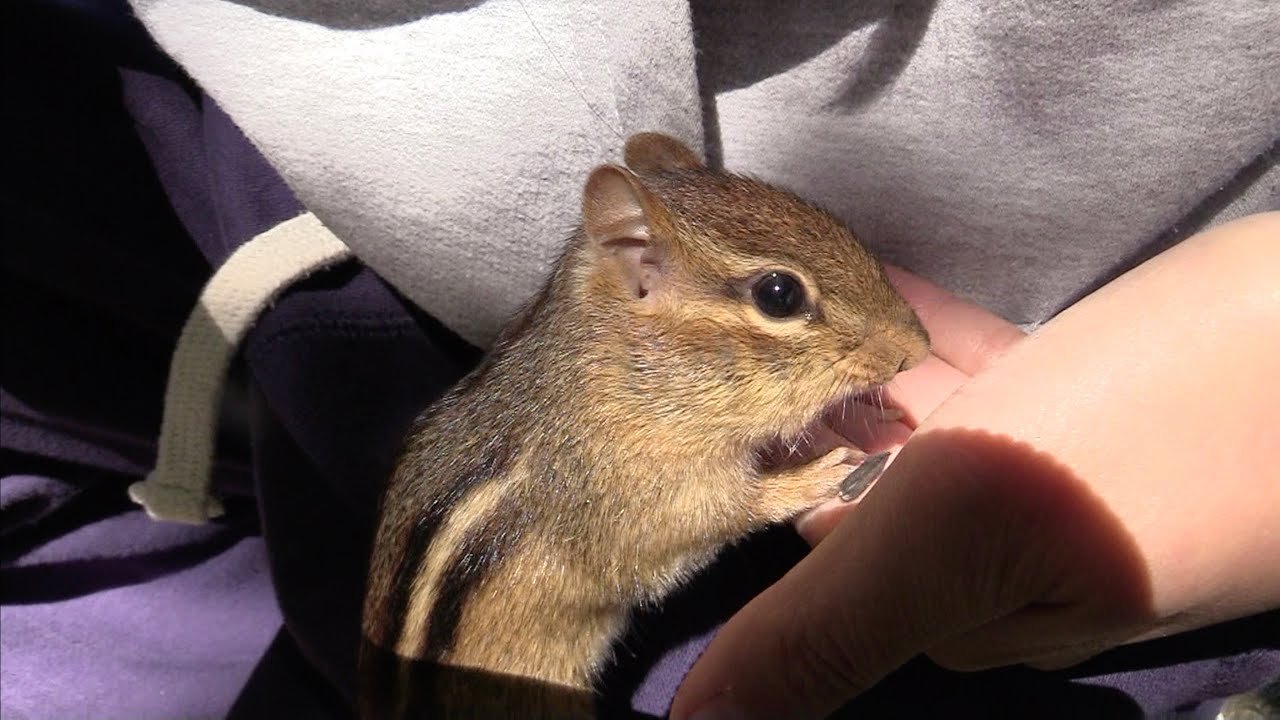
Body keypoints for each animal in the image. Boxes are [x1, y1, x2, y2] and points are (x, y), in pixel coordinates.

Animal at [359, 132, 930, 718]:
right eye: (779, 294)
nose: (918, 348)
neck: (612, 373)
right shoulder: (637, 492)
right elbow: (722, 510)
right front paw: (815, 475)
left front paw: (868, 414)